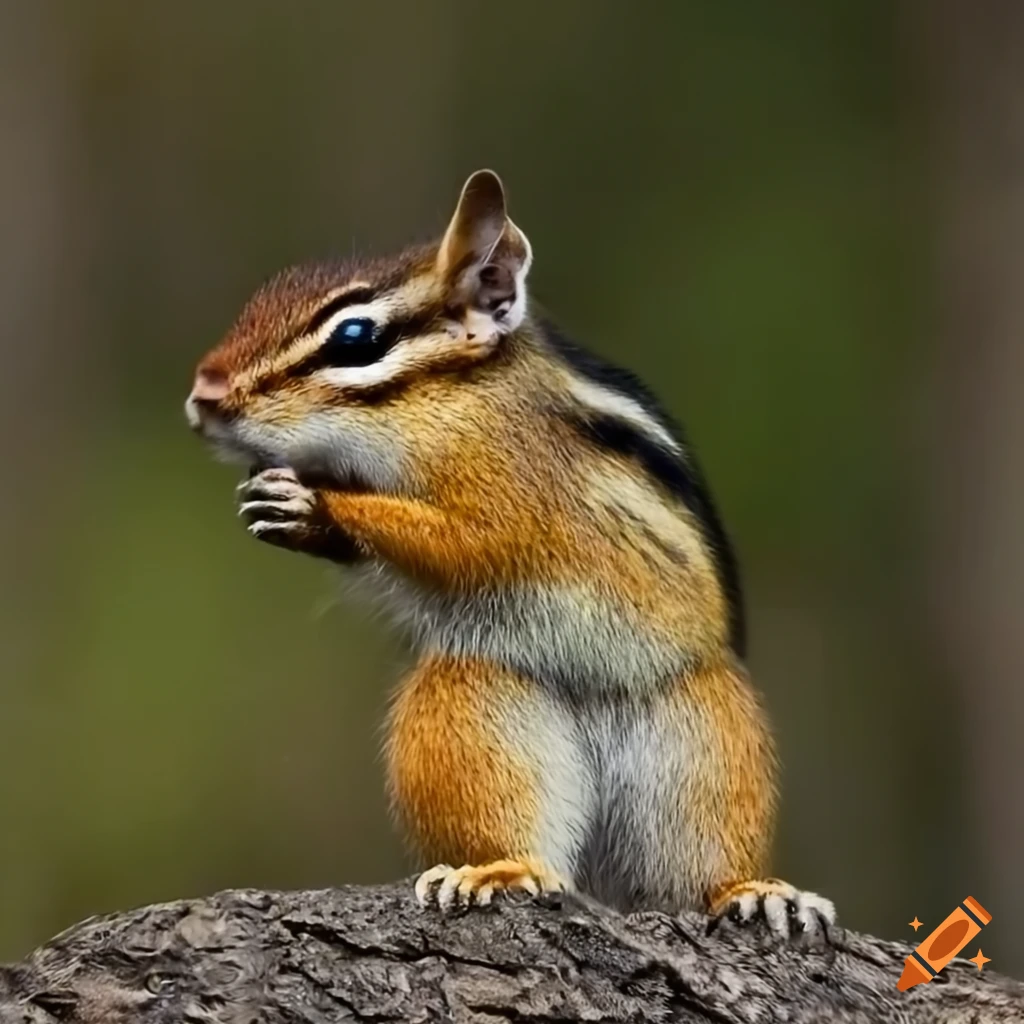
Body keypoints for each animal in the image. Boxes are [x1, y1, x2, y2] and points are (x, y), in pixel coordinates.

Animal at [186, 169, 835, 937]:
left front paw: (316, 505)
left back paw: (749, 890)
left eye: (355, 337)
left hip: (706, 732)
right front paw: (283, 509)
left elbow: (468, 541)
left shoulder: (516, 498)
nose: (203, 393)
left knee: (702, 862)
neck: (456, 404)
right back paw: (499, 868)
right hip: (470, 707)